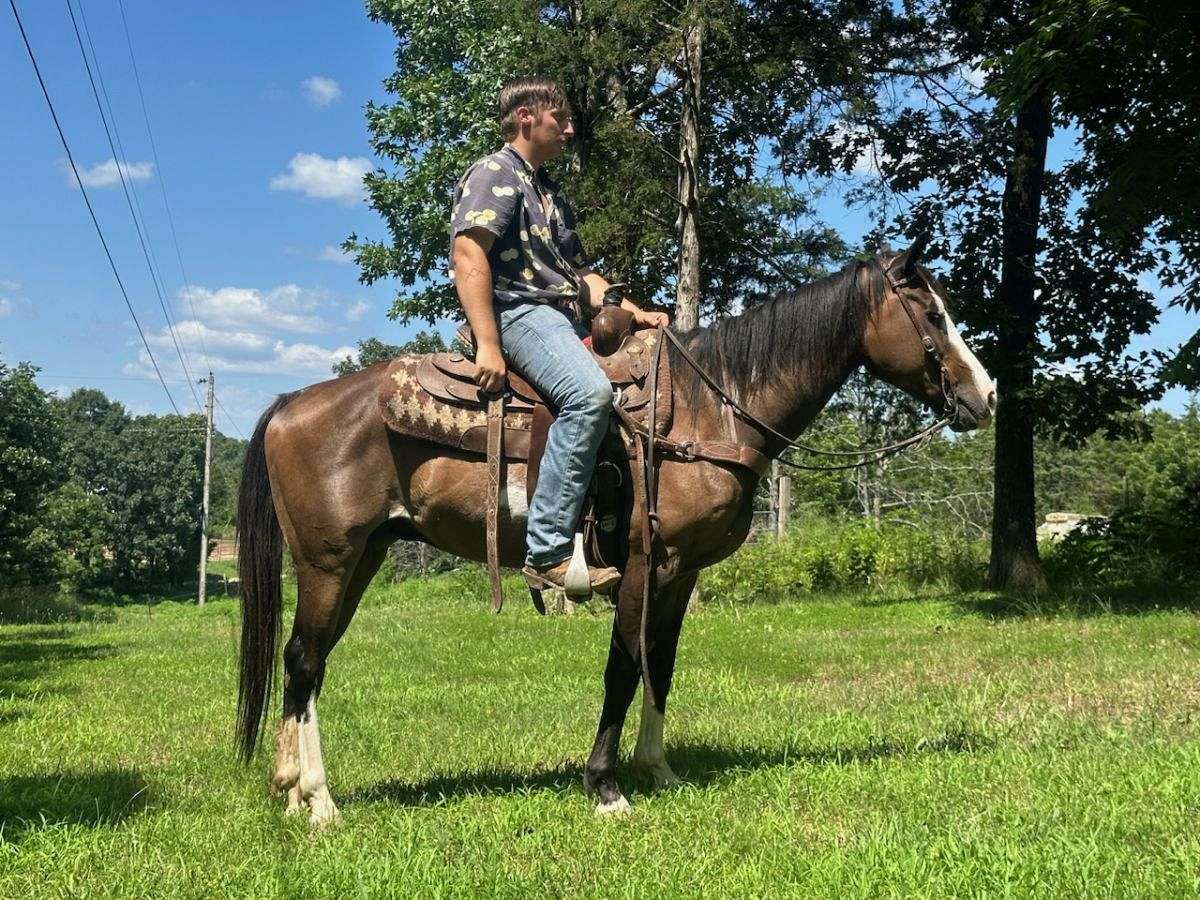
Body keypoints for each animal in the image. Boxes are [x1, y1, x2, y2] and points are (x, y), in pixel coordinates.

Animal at [235, 237, 996, 825]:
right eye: (933, 312)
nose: (986, 395)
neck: (709, 409)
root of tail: (291, 403)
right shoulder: (641, 562)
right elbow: (623, 667)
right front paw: (604, 786)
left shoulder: (682, 570)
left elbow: (661, 661)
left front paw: (658, 768)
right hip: (328, 561)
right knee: (304, 661)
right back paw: (320, 802)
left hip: (361, 557)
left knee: (307, 661)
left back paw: (288, 790)